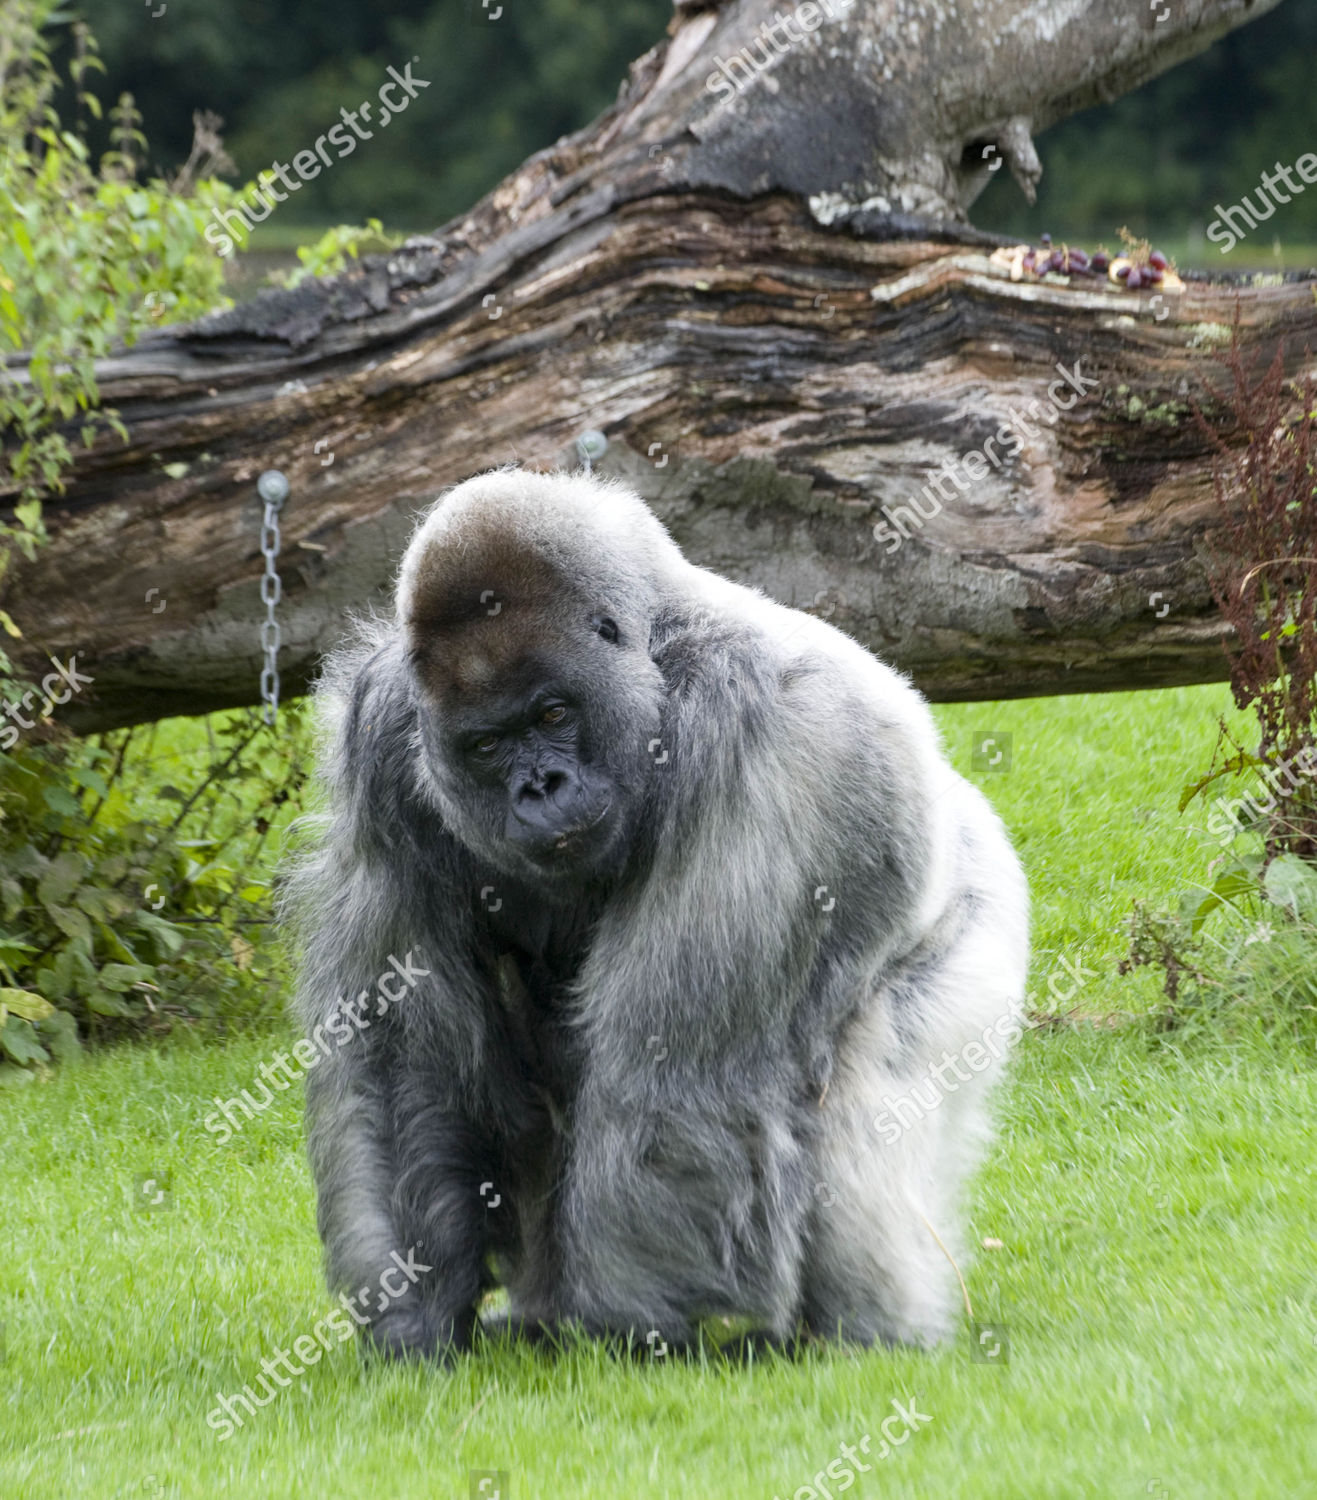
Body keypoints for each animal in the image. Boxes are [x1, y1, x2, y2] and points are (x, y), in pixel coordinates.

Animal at [289, 465, 1029, 1360]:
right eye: (487, 747)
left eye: (553, 715)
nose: (538, 789)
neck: (657, 659)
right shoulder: (385, 733)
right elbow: (401, 1058)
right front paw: (416, 1315)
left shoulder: (778, 738)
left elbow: (673, 1081)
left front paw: (624, 1328)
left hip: (976, 927)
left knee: (856, 1119)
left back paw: (859, 1335)